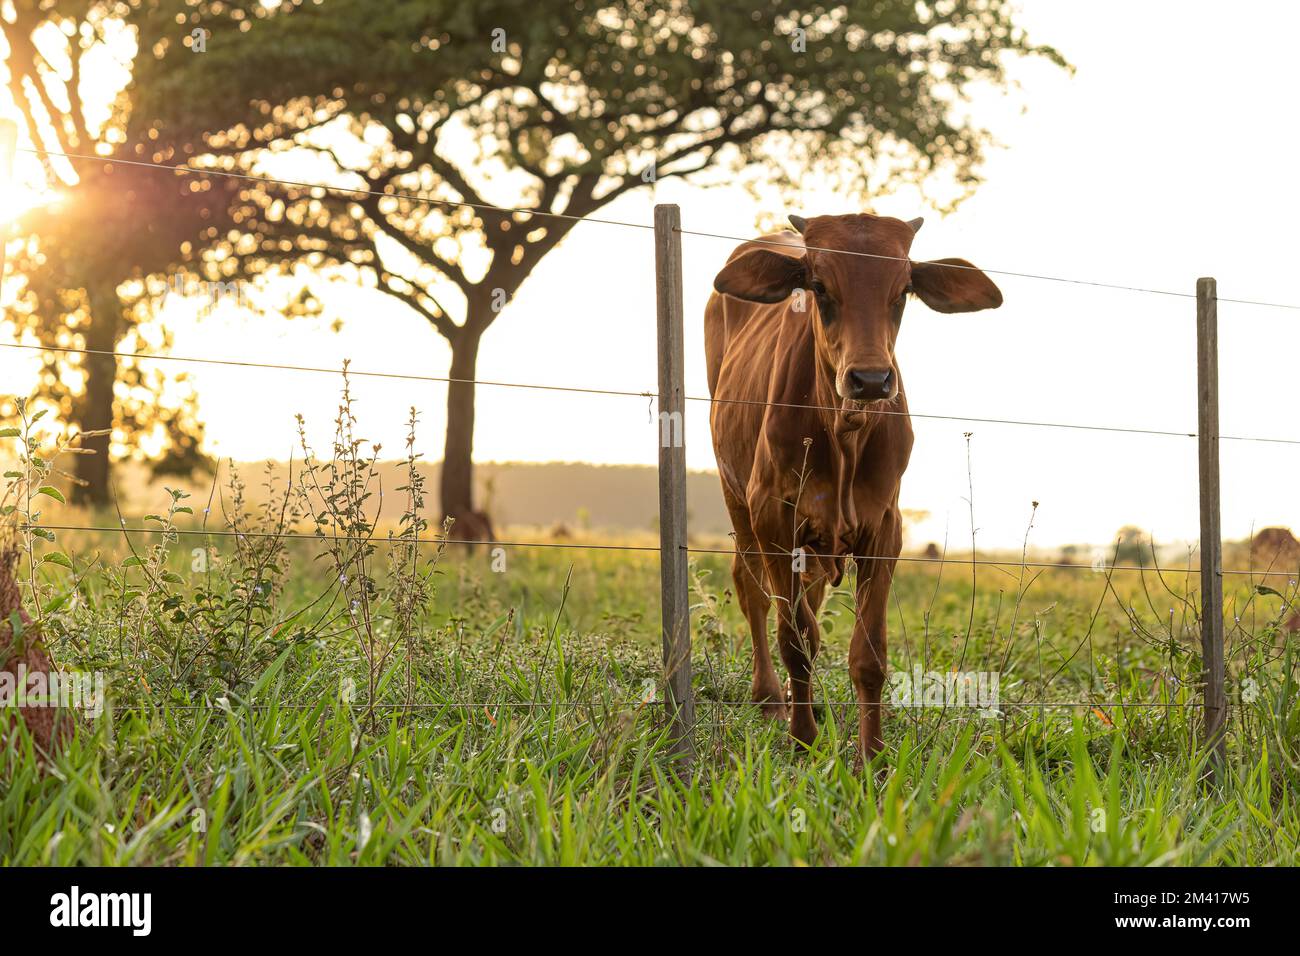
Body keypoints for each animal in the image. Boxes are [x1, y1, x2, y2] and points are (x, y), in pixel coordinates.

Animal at [704, 212, 1003, 764]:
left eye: (903, 290)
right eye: (819, 286)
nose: (869, 379)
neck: (844, 429)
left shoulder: (884, 528)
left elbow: (868, 654)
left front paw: (873, 756)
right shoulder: (772, 515)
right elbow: (795, 637)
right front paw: (802, 738)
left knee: (809, 595)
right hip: (735, 493)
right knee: (752, 588)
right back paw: (771, 699)